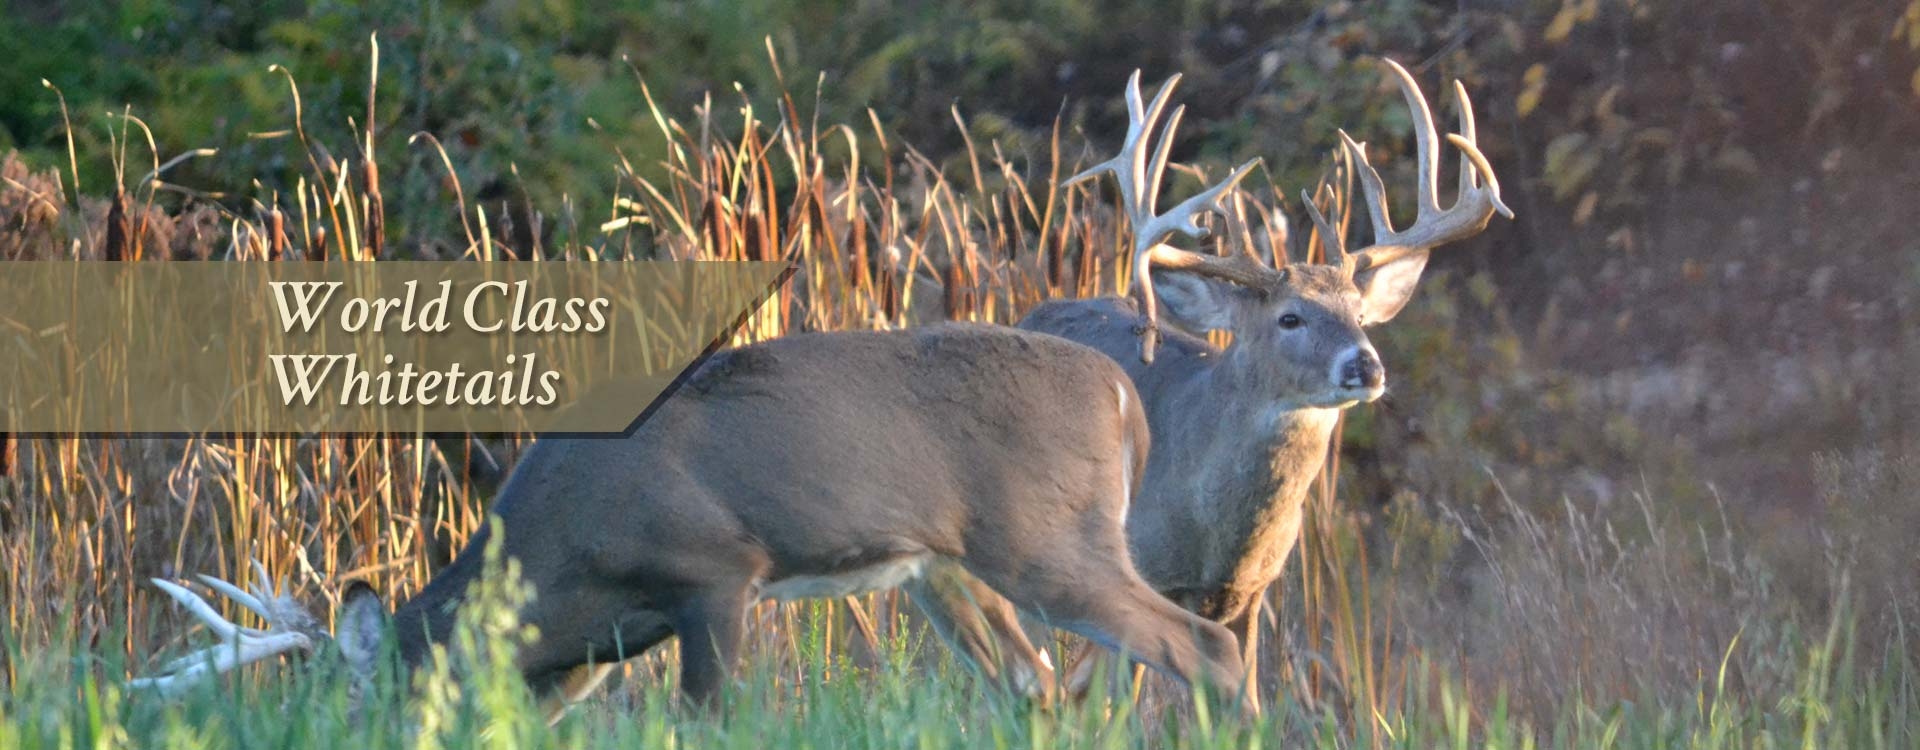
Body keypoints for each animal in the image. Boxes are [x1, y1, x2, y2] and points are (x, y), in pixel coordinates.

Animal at [129, 323, 1256, 719]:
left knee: (1205, 645)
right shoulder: (585, 651)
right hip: (946, 571)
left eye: (356, 704)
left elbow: (707, 716)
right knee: (1034, 687)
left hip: (1044, 539)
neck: (557, 555)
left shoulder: (715, 570)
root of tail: (1123, 393)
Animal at [917, 59, 1513, 710]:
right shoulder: (1146, 572)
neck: (1212, 533)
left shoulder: (1250, 595)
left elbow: (1235, 695)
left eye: (1360, 312)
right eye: (1290, 318)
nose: (1367, 366)